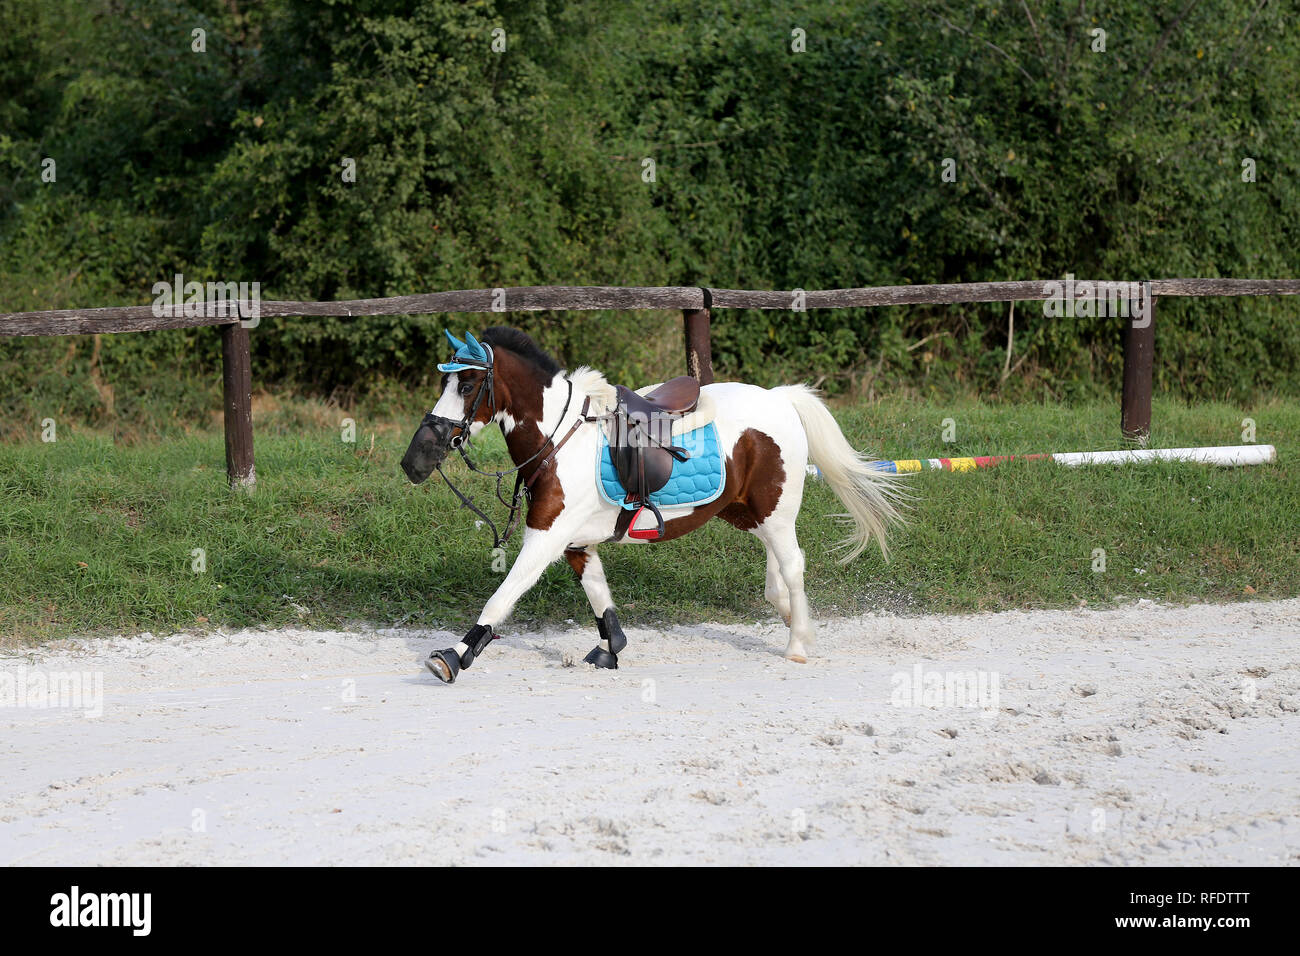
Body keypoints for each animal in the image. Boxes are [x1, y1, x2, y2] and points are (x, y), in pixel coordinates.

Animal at [401, 326, 906, 684]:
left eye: (467, 386)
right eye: (446, 382)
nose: (414, 460)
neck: (560, 439)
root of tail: (781, 398)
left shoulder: (546, 538)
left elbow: (501, 598)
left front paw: (452, 658)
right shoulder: (575, 543)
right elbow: (600, 599)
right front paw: (610, 650)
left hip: (774, 511)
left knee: (794, 564)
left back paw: (798, 642)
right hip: (745, 510)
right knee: (778, 567)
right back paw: (786, 612)